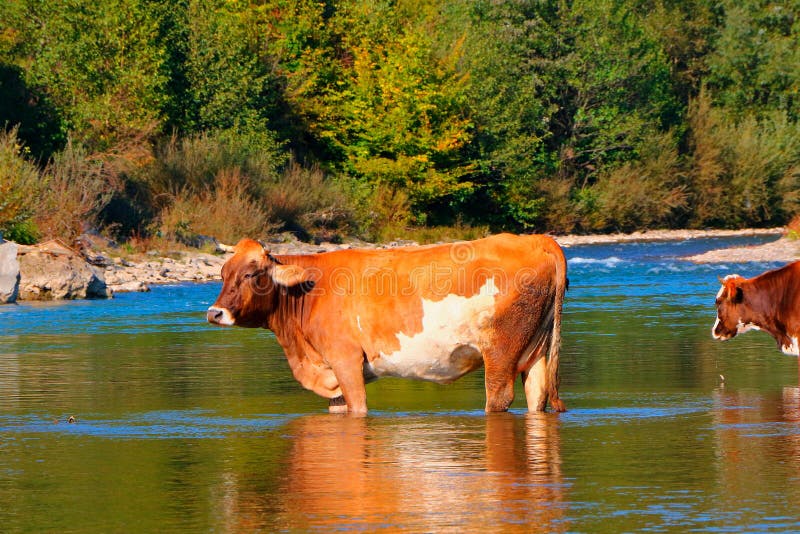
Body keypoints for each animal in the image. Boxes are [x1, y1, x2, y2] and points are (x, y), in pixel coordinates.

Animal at [207, 233, 568, 415]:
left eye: (252, 273)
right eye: (223, 272)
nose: (215, 313)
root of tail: (536, 238)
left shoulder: (345, 359)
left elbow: (358, 409)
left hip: (500, 350)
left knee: (498, 397)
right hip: (535, 350)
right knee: (536, 396)